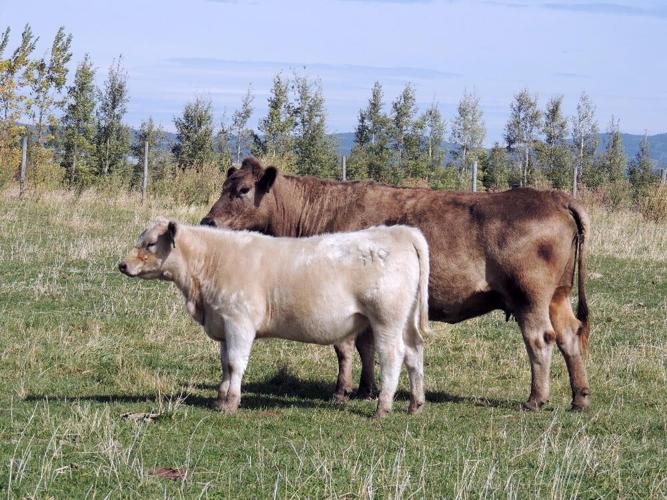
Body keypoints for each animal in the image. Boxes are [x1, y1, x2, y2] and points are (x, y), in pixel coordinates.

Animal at [118, 218, 430, 417]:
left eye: (149, 244)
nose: (122, 265)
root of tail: (400, 232)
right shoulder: (223, 323)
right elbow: (224, 364)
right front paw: (220, 399)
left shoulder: (239, 322)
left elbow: (235, 363)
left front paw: (231, 403)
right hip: (406, 321)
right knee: (414, 353)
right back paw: (415, 404)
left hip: (386, 319)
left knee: (392, 356)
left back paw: (382, 407)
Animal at [201, 157, 592, 411]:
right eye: (223, 186)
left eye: (243, 190)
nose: (208, 221)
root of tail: (554, 196)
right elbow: (365, 346)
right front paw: (365, 389)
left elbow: (346, 347)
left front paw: (343, 391)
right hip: (557, 296)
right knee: (570, 335)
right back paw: (579, 397)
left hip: (530, 296)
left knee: (540, 339)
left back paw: (535, 399)